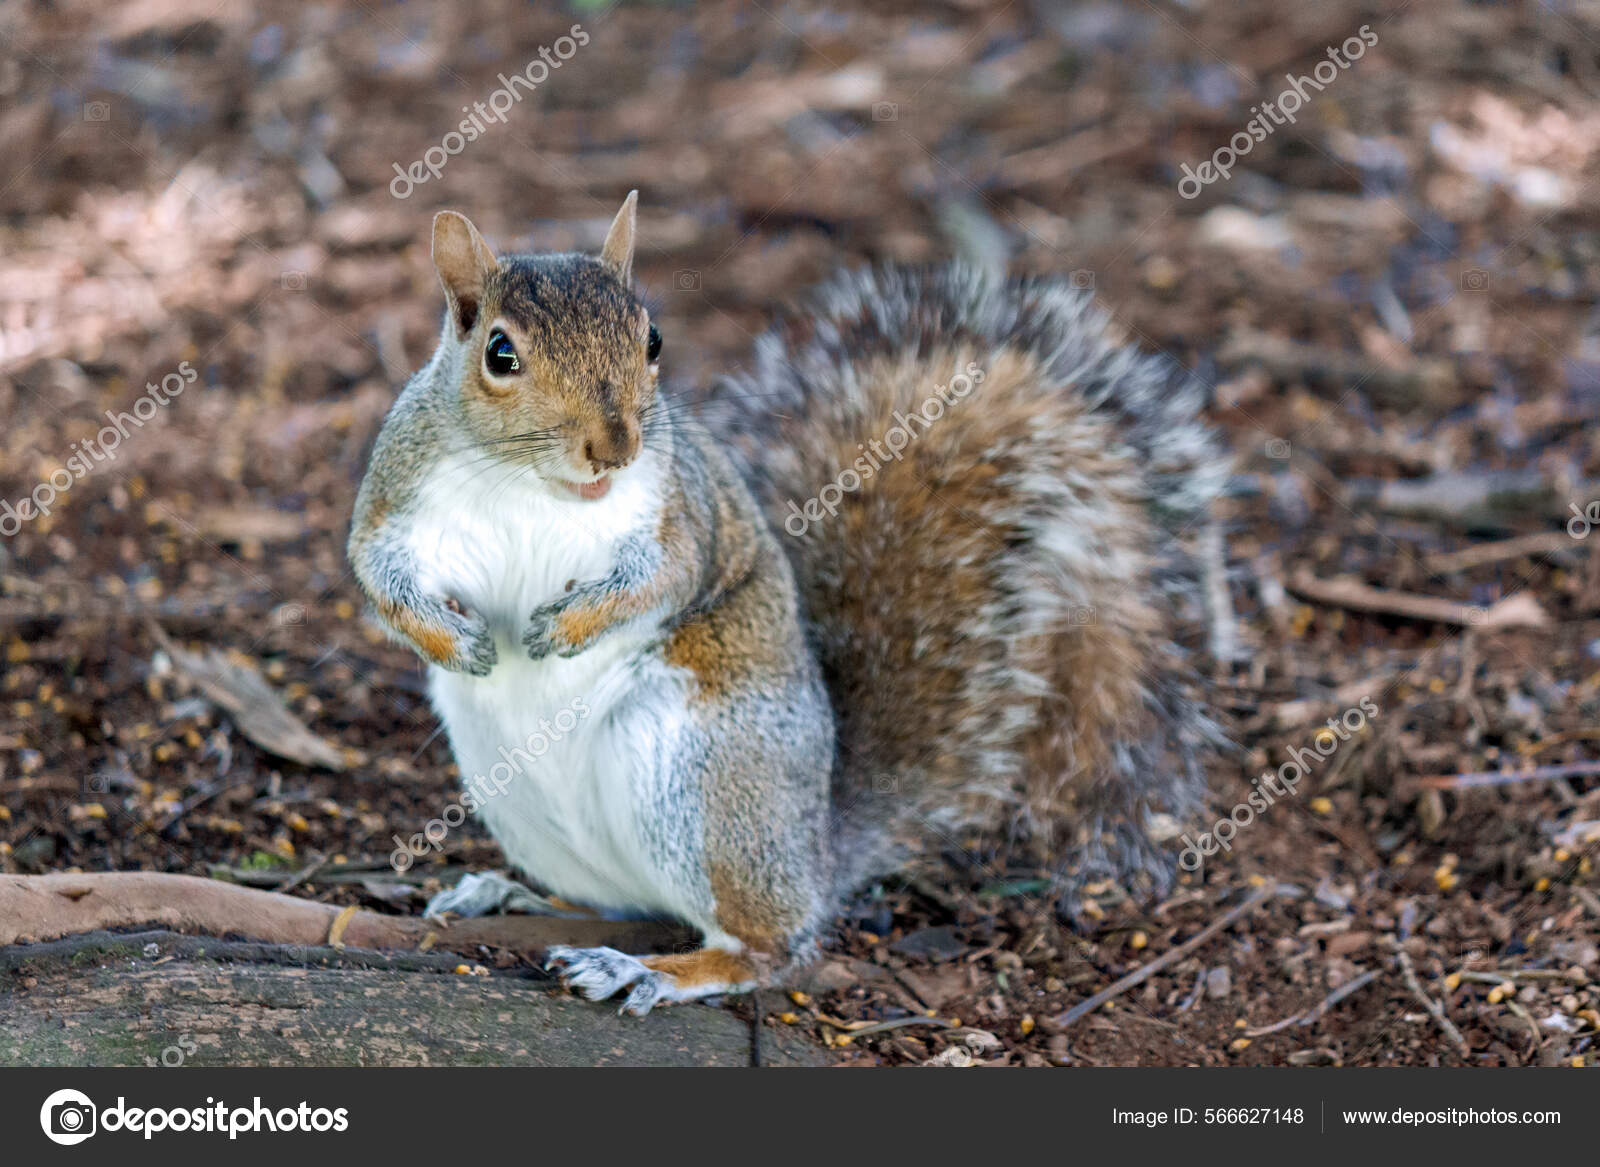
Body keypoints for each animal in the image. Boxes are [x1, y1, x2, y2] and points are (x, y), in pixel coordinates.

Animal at [348, 192, 1228, 1015]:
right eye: (500, 354)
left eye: (653, 339)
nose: (615, 447)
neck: (533, 484)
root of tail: (819, 848)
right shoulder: (396, 500)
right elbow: (376, 575)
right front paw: (456, 643)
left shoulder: (682, 514)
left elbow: (666, 578)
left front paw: (566, 625)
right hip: (529, 795)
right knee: (620, 898)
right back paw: (512, 896)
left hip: (711, 780)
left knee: (767, 947)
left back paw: (648, 969)